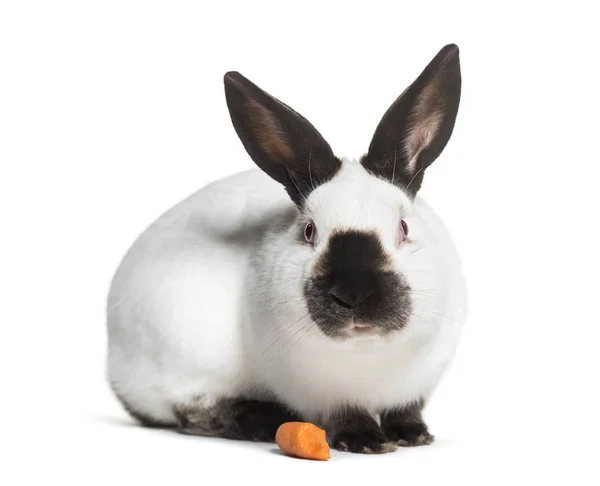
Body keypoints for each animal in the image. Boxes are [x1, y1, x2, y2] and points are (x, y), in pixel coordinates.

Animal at [105, 43, 466, 454]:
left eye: (403, 227)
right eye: (309, 231)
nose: (354, 294)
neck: (366, 350)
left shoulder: (415, 386)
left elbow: (405, 410)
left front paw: (413, 435)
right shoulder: (326, 395)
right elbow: (347, 415)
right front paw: (365, 442)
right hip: (183, 359)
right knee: (194, 412)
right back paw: (262, 421)